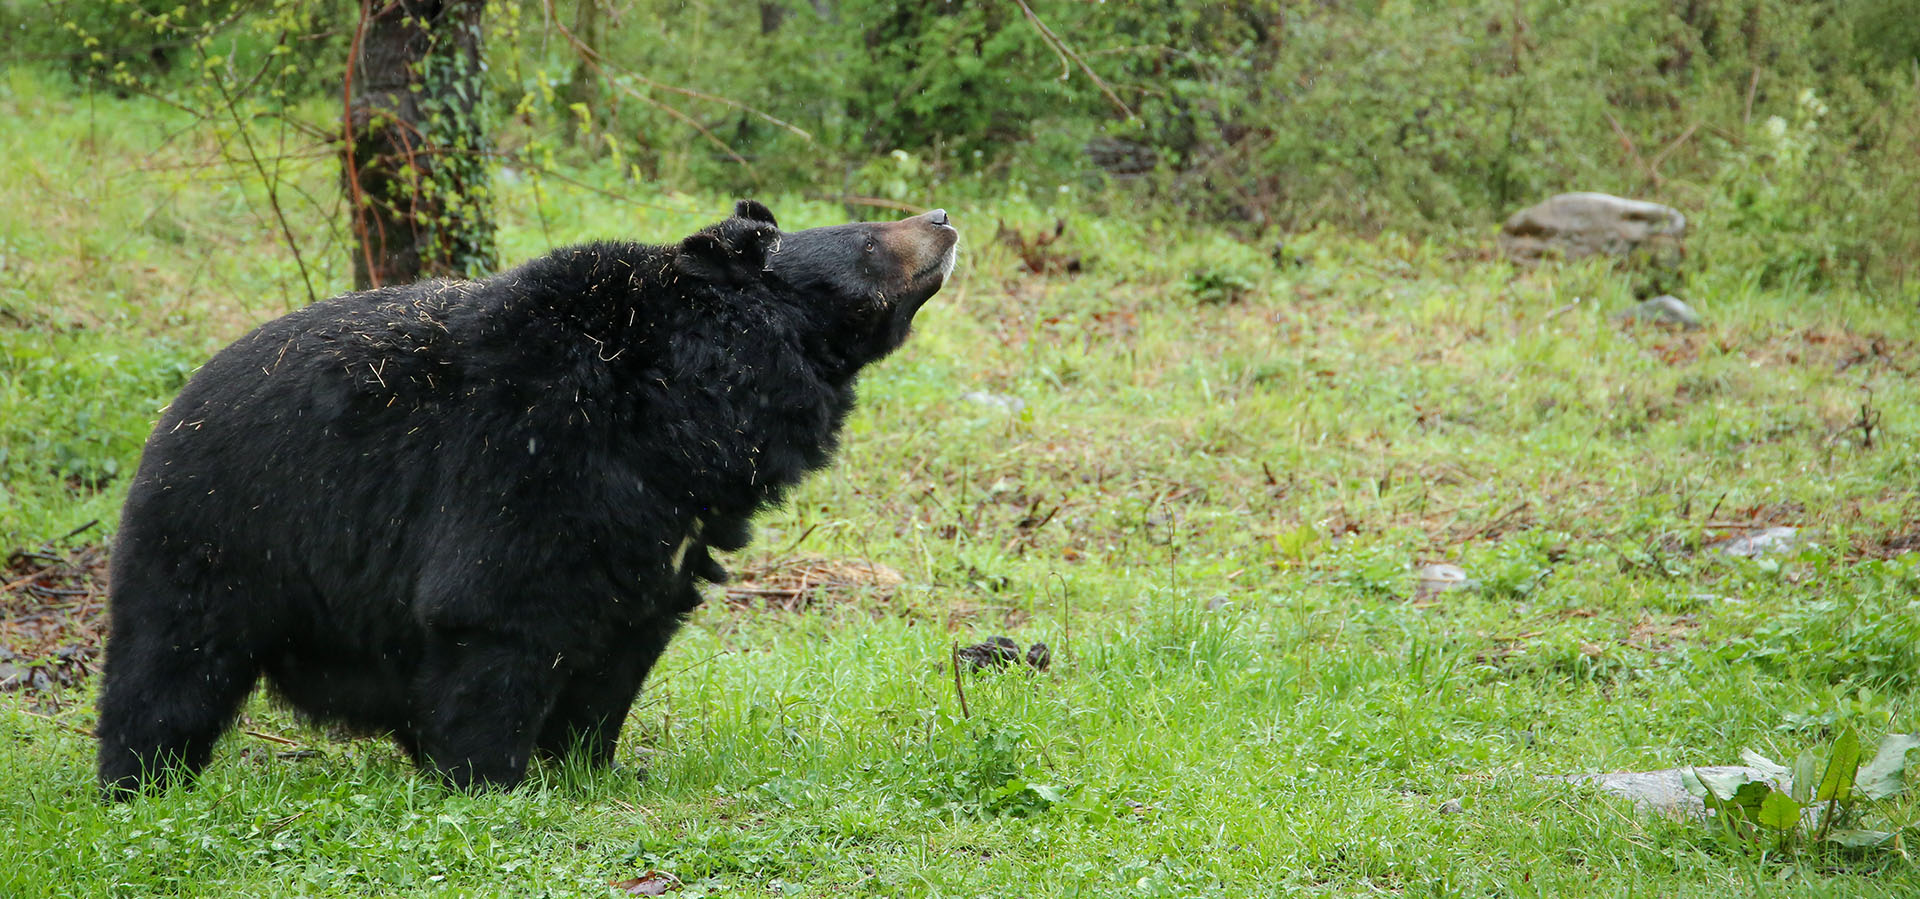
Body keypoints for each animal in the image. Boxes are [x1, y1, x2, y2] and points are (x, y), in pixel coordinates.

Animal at [95, 200, 958, 798]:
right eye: (870, 238)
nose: (944, 221)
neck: (679, 409)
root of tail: (173, 411)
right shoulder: (533, 458)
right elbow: (494, 609)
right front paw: (490, 779)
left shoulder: (659, 528)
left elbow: (623, 648)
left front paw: (592, 765)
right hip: (223, 531)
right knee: (169, 663)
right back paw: (140, 779)